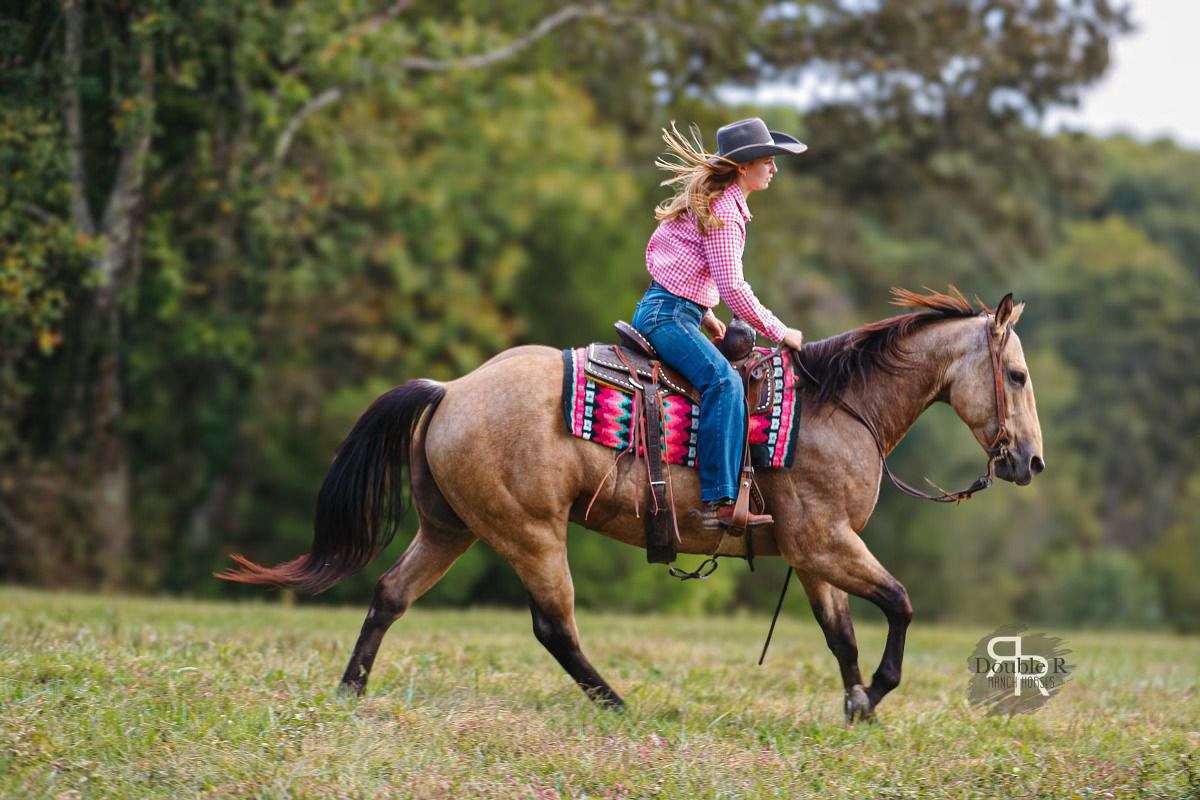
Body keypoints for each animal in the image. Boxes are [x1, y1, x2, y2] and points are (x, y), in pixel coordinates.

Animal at [217, 287, 1044, 723]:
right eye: (1017, 373)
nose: (1029, 461)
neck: (841, 408)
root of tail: (451, 390)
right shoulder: (826, 543)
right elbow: (900, 603)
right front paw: (874, 694)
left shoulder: (812, 555)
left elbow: (841, 634)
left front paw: (857, 707)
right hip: (531, 533)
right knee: (554, 626)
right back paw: (615, 702)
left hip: (449, 529)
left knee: (390, 593)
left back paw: (350, 690)